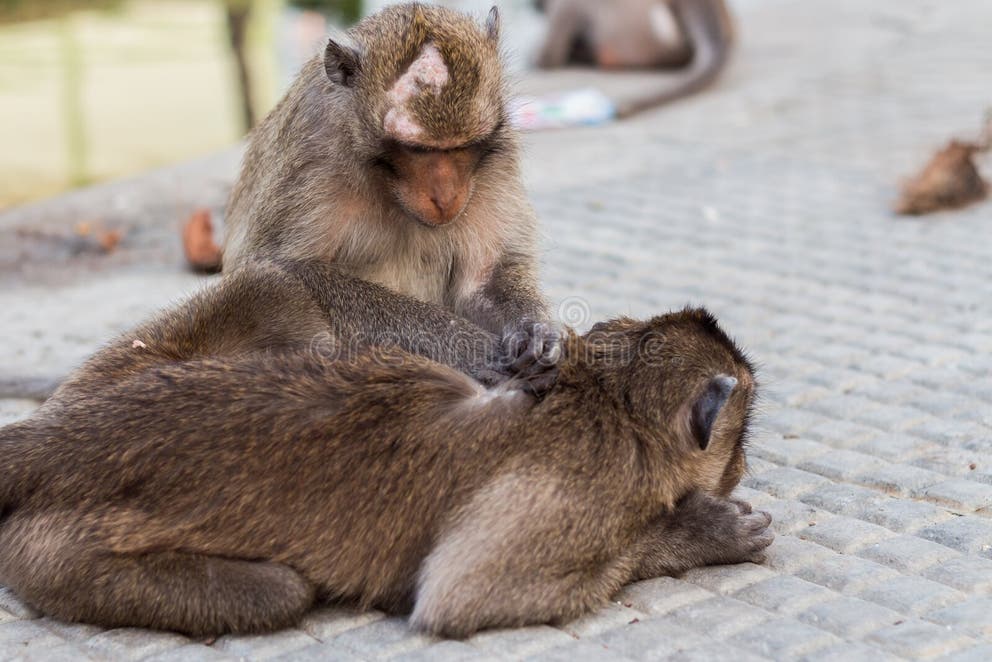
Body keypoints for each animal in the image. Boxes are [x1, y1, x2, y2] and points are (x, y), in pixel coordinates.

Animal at [0, 306, 771, 637]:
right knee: (281, 595)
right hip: (48, 553)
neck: (609, 401)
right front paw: (700, 530)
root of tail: (53, 436)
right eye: (739, 437)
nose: (740, 467)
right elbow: (463, 595)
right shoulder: (588, 487)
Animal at [222, 3, 559, 387]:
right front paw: (468, 345)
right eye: (416, 149)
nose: (445, 198)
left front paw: (532, 331)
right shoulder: (311, 161)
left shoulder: (495, 163)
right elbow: (278, 271)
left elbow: (484, 278)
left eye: (463, 146)